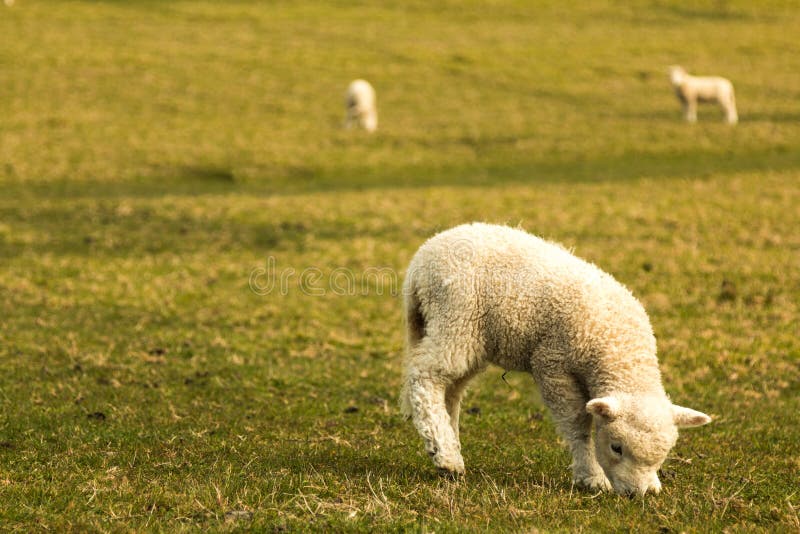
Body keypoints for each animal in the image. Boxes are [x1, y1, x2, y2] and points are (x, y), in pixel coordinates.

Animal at [400, 223, 711, 496]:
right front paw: (591, 477)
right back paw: (444, 455)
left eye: (664, 454)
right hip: (455, 320)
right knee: (425, 376)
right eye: (616, 447)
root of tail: (420, 262)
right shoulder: (553, 364)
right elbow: (577, 423)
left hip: (467, 337)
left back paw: (449, 447)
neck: (617, 350)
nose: (638, 494)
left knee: (450, 390)